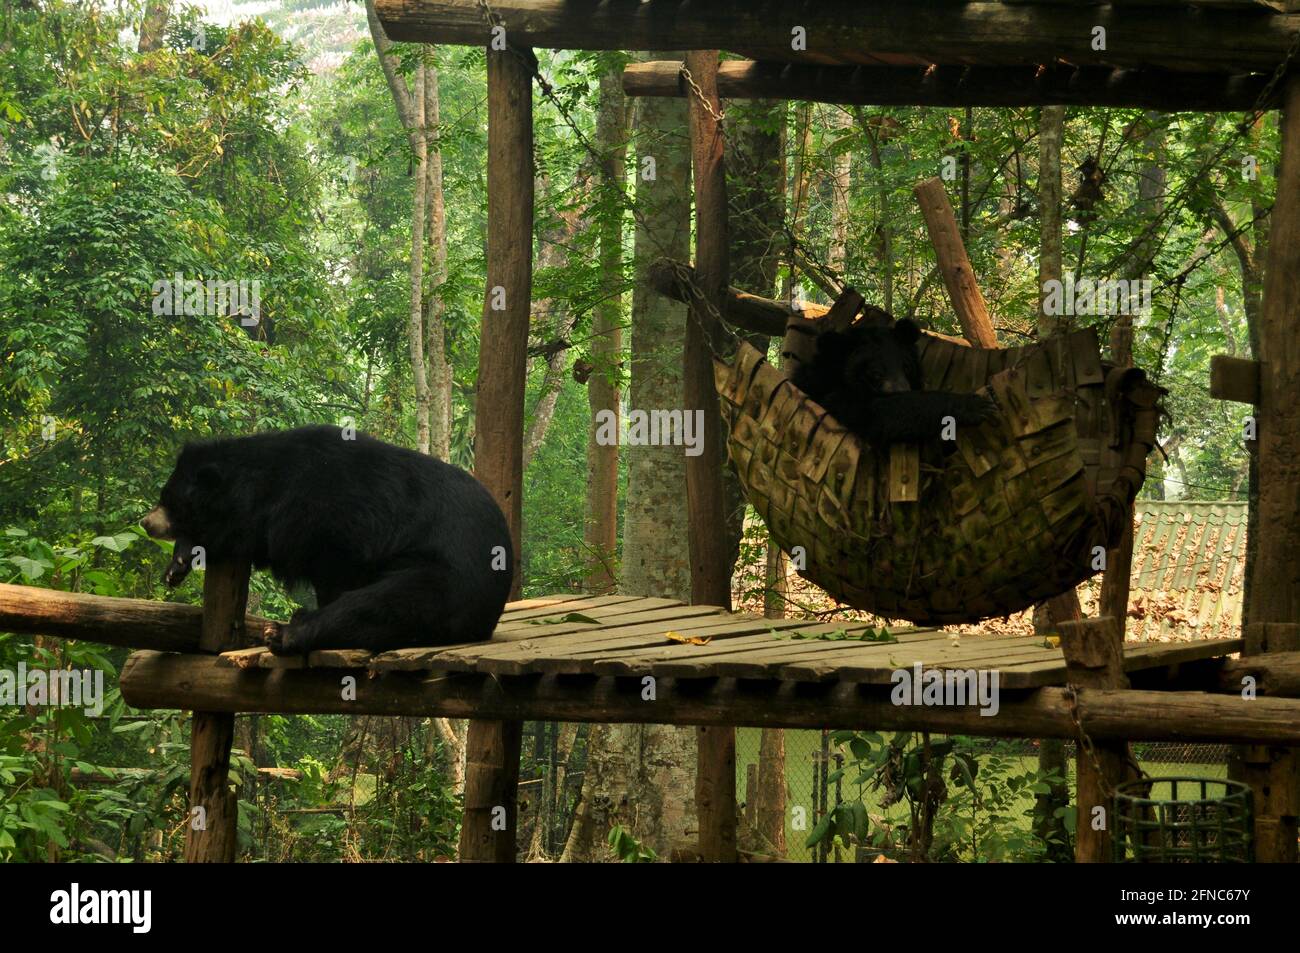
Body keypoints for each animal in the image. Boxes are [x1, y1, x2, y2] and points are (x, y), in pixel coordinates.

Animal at [141, 425, 514, 655]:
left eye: (169, 501)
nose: (146, 523)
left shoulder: (328, 517)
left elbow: (335, 568)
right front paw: (177, 564)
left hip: (444, 579)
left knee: (379, 605)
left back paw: (286, 633)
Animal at [789, 317, 997, 446]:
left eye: (906, 367)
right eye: (874, 373)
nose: (900, 390)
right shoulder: (831, 394)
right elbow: (875, 415)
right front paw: (977, 405)